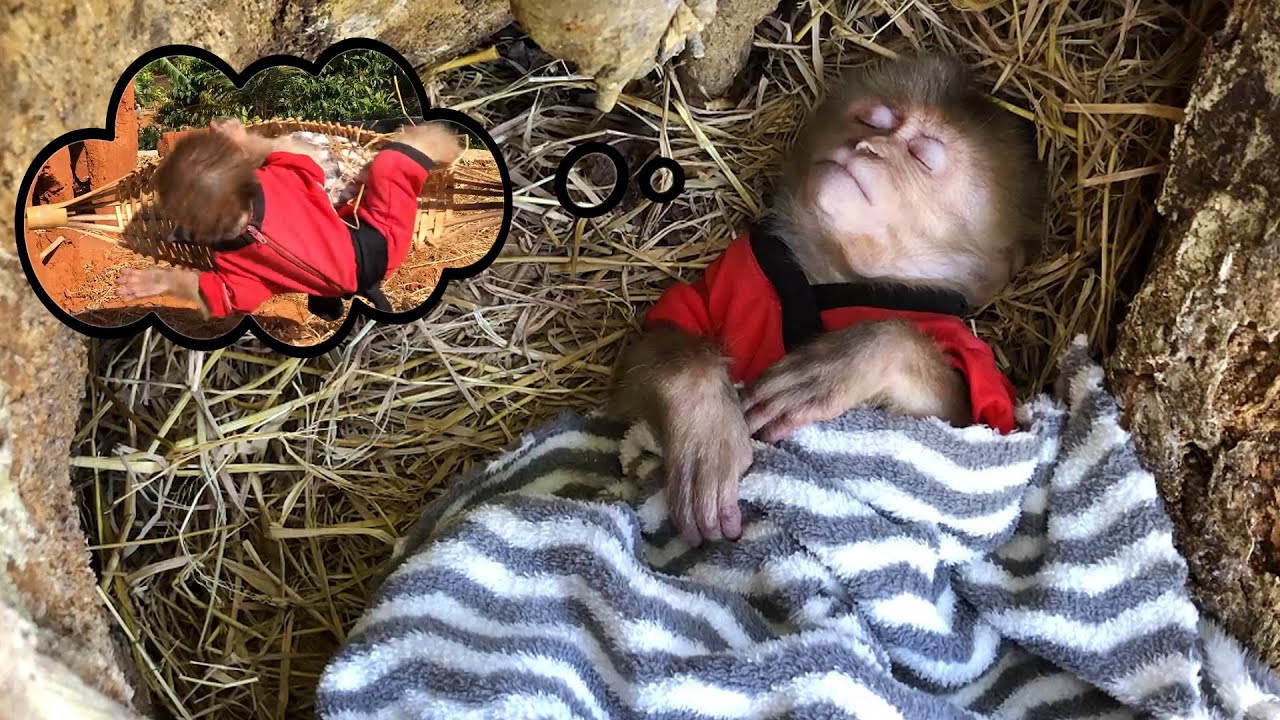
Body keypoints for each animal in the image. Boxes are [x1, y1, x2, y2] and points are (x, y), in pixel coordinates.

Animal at [116, 119, 465, 321]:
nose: (175, 233)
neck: (250, 224)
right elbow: (220, 294)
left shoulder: (287, 170)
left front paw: (236, 134)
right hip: (385, 227)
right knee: (397, 159)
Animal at [613, 53, 1047, 546]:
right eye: (874, 119)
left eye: (923, 157)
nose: (866, 148)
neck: (832, 273)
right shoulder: (733, 268)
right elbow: (661, 345)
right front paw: (704, 428)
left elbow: (968, 429)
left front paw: (839, 365)